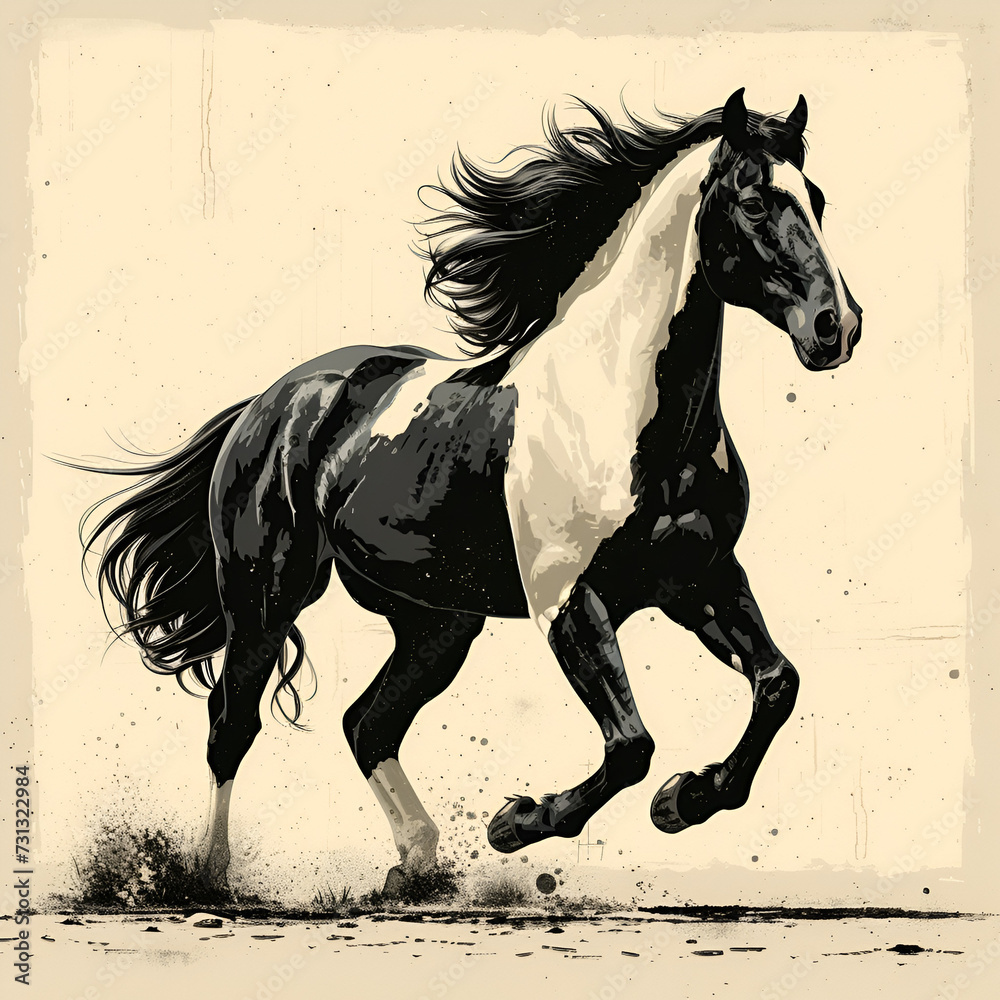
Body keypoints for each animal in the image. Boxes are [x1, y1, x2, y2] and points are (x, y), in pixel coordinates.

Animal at [69, 87, 861, 896]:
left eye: (818, 198)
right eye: (754, 202)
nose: (837, 327)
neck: (632, 418)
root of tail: (272, 402)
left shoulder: (699, 579)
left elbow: (778, 683)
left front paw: (686, 798)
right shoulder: (566, 600)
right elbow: (631, 746)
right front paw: (517, 822)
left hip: (437, 621)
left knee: (366, 723)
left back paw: (417, 866)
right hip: (263, 595)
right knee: (233, 724)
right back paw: (211, 879)